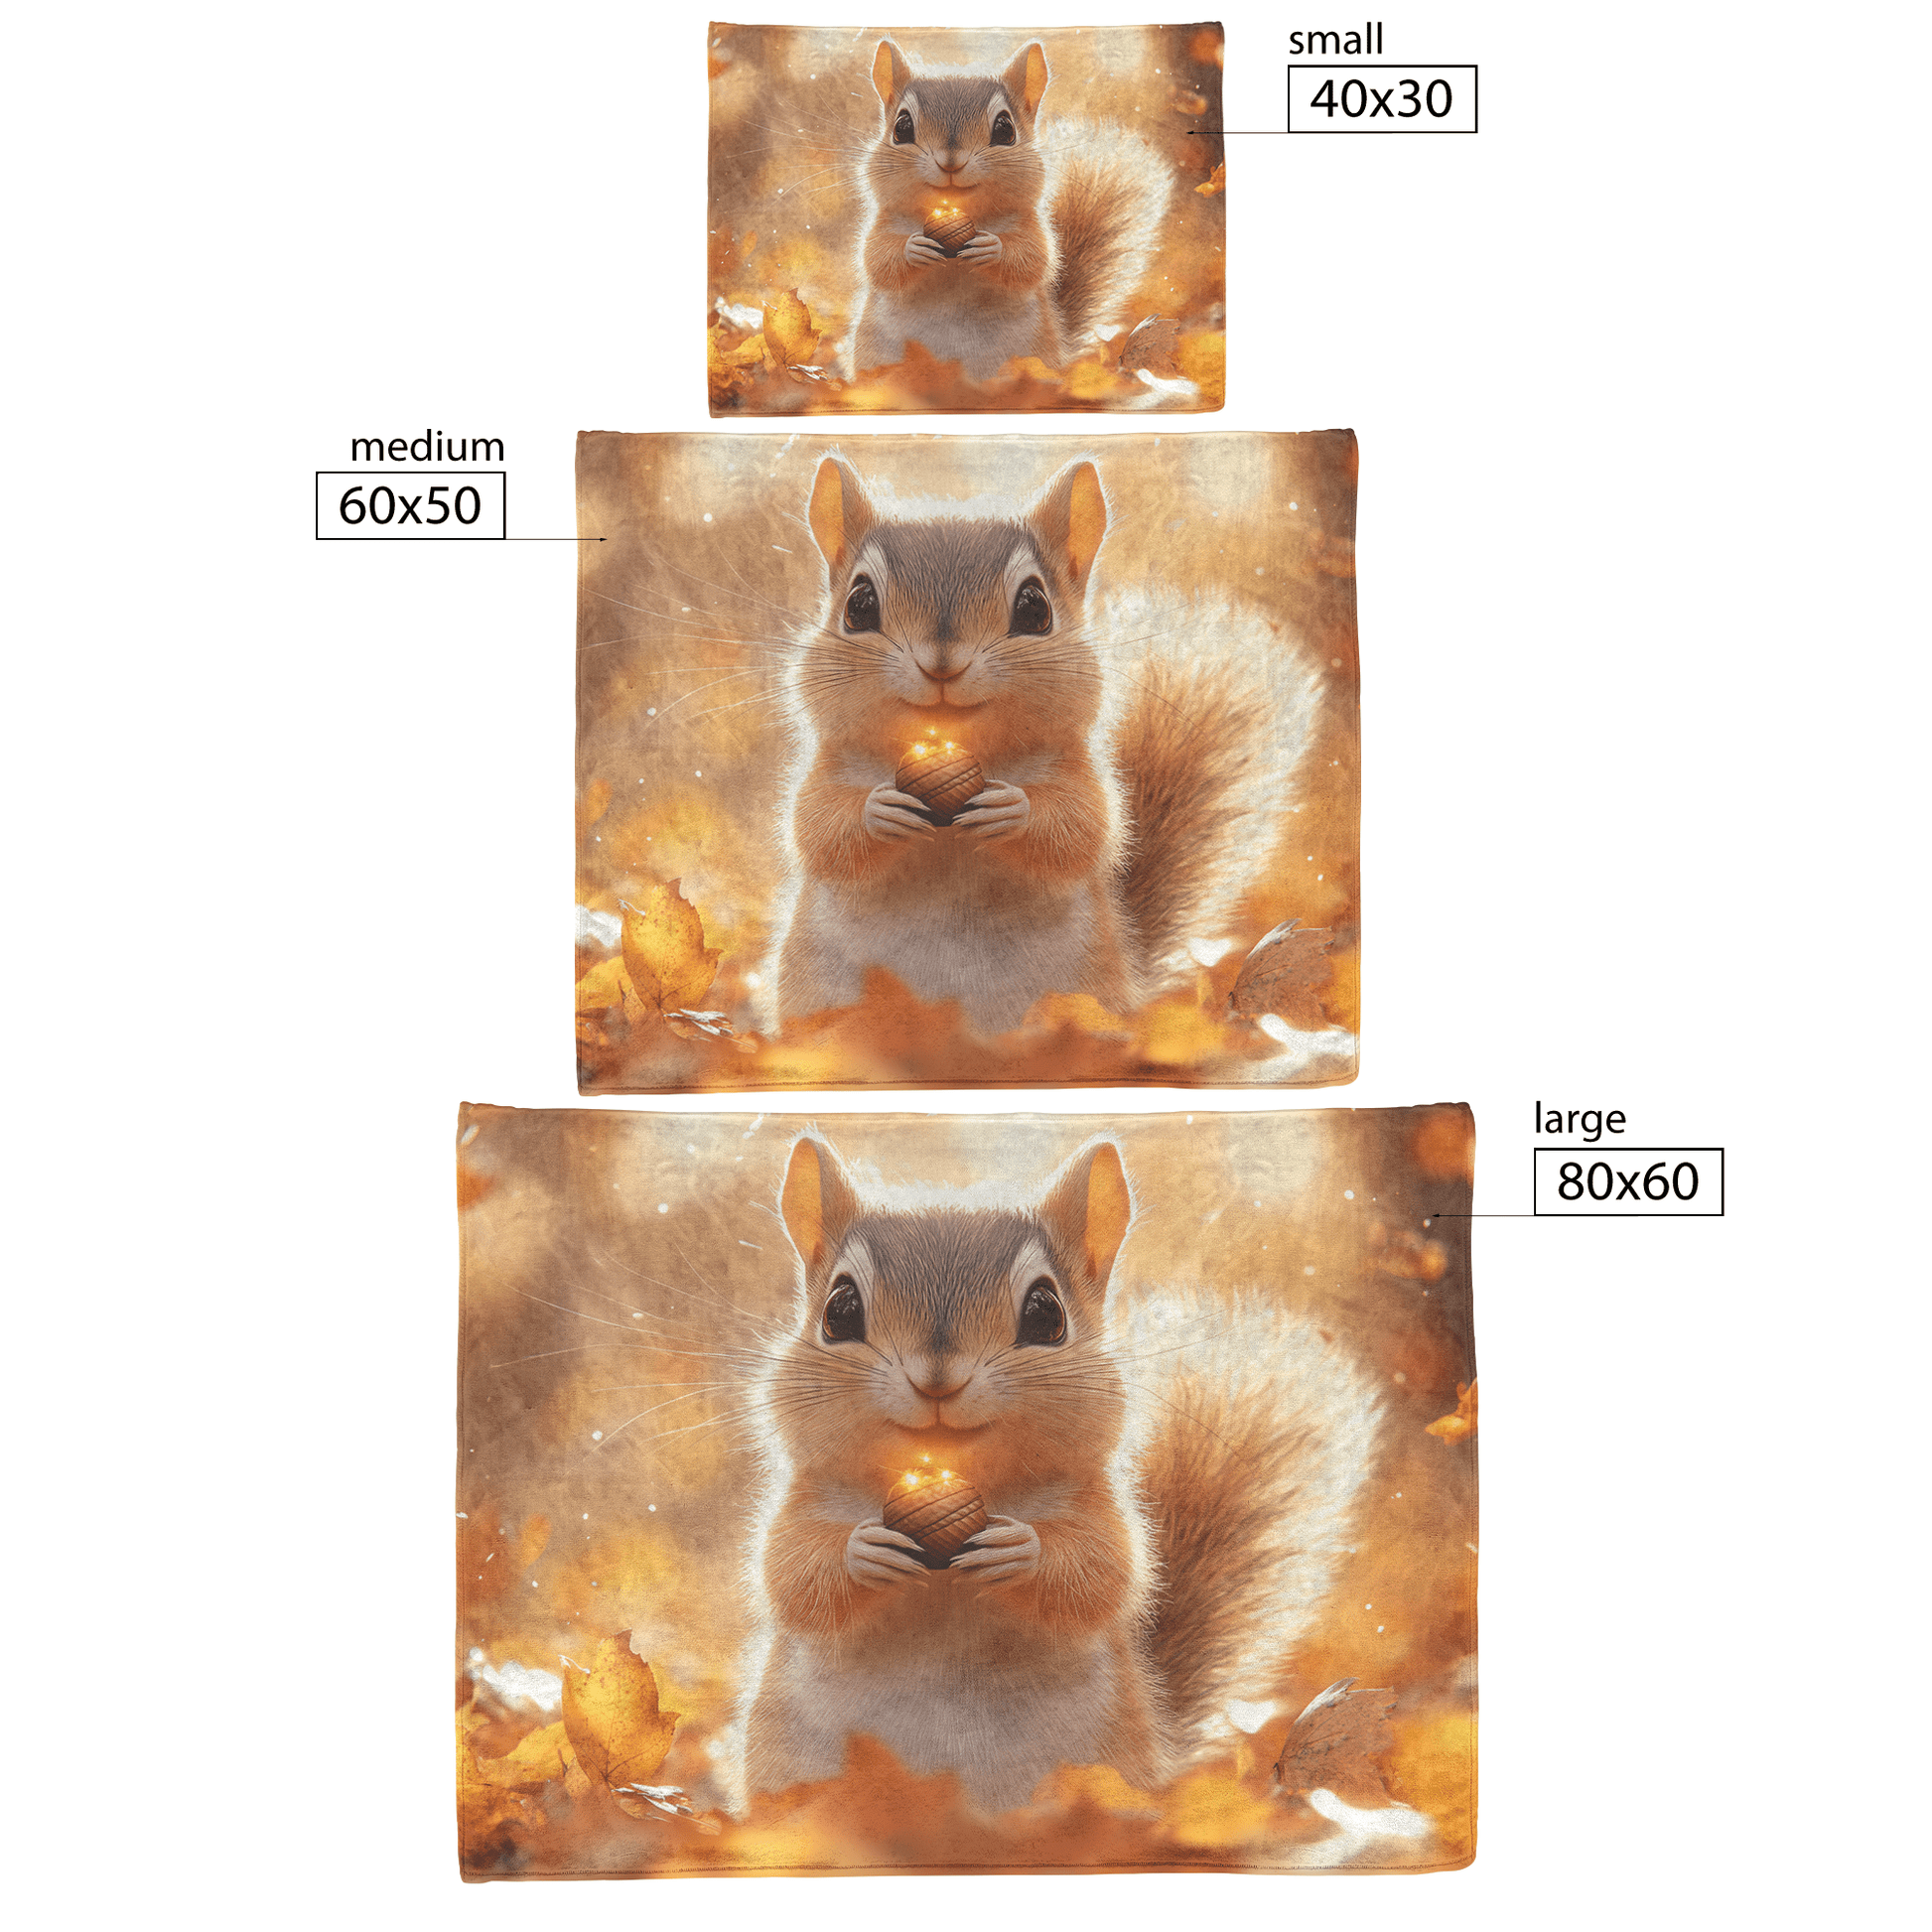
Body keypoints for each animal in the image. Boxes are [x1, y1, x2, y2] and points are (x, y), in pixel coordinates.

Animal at [730, 1135, 1382, 1813]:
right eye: (840, 1310)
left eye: (1047, 1314)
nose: (937, 1380)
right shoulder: (803, 1501)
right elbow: (791, 1571)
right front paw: (863, 1549)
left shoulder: (1100, 1507)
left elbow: (1102, 1571)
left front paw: (1024, 1549)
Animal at [763, 452, 1322, 1033]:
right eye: (859, 605)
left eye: (1035, 609)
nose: (942, 664)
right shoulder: (827, 769)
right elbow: (818, 826)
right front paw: (878, 809)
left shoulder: (1080, 773)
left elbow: (1082, 827)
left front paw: (1016, 809)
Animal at [850, 39, 1173, 381]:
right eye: (902, 127)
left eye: (1005, 129)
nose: (950, 162)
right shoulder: (883, 224)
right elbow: (878, 258)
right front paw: (914, 248)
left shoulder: (1032, 227)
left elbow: (1032, 259)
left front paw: (994, 247)